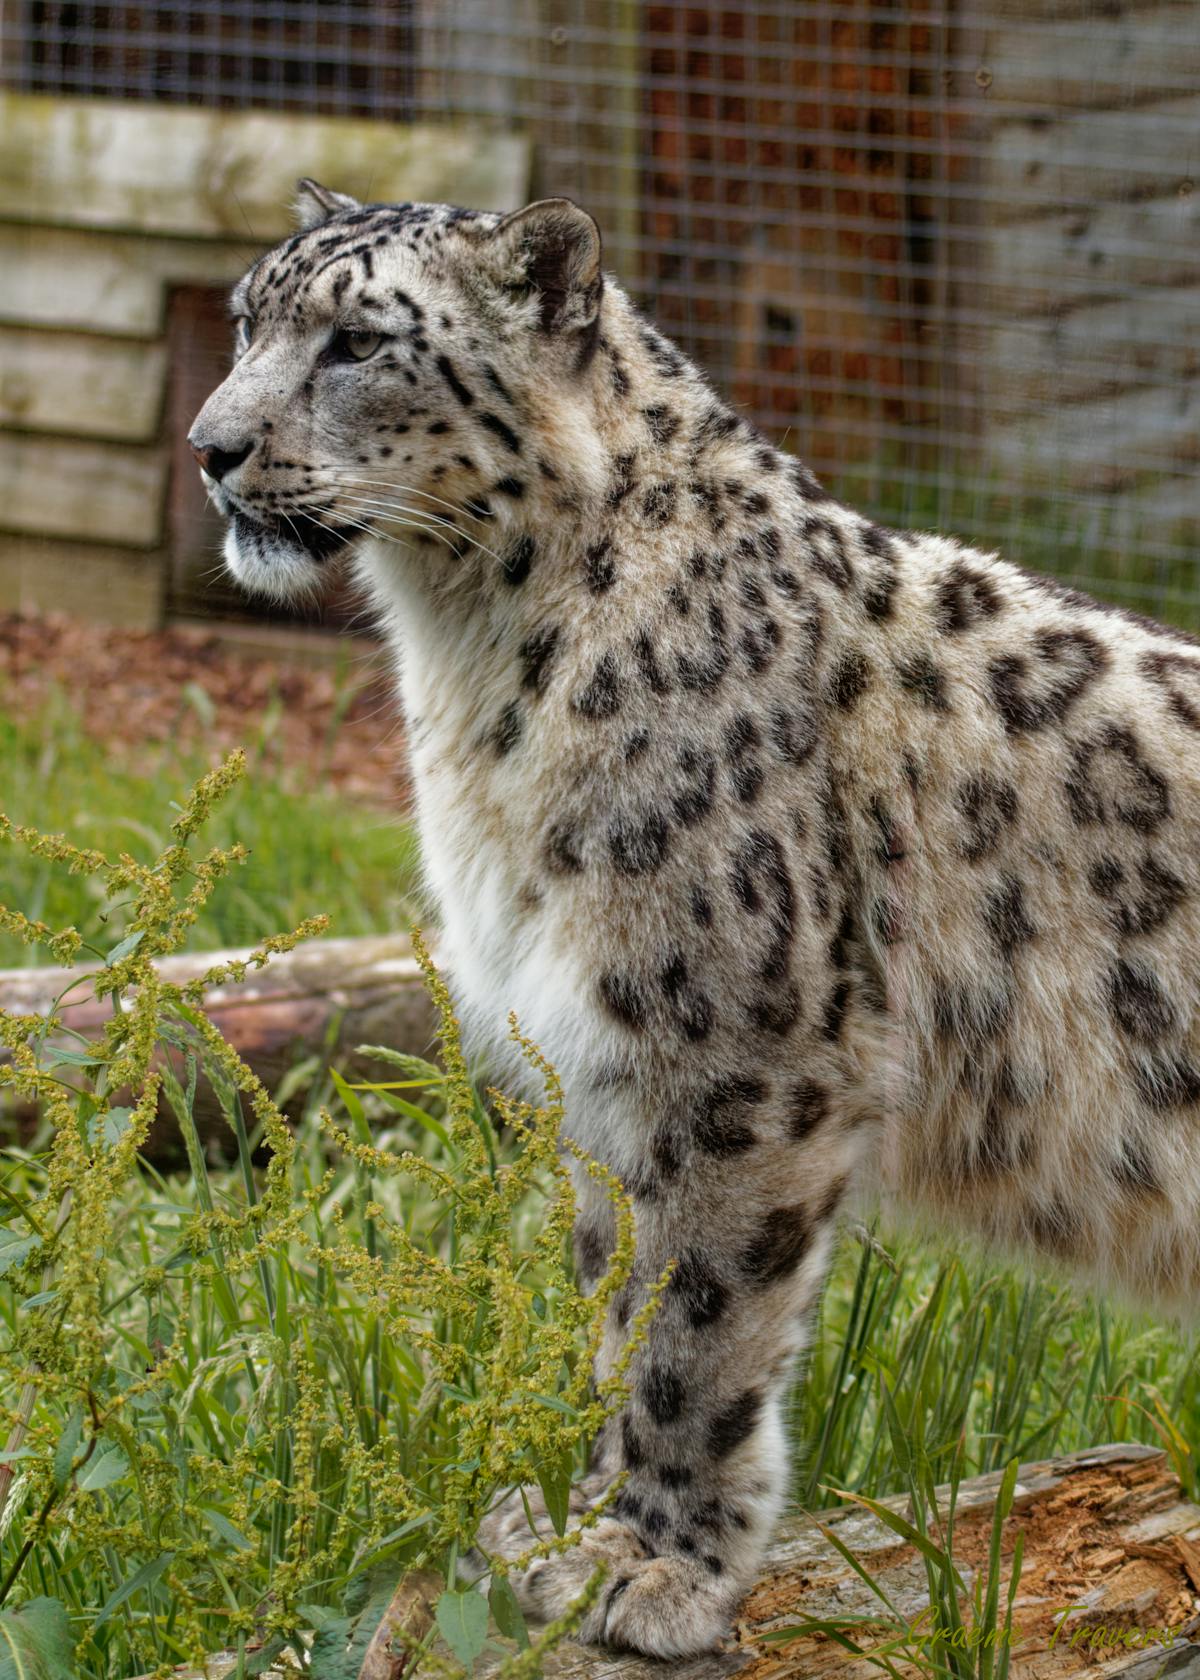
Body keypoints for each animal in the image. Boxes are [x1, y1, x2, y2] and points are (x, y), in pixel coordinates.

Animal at [190, 183, 1200, 1658]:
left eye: (358, 341)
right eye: (246, 321)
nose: (209, 448)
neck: (471, 673)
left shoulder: (734, 1054)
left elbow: (694, 1330)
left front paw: (652, 1568)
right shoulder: (595, 1063)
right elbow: (612, 1304)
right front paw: (563, 1531)